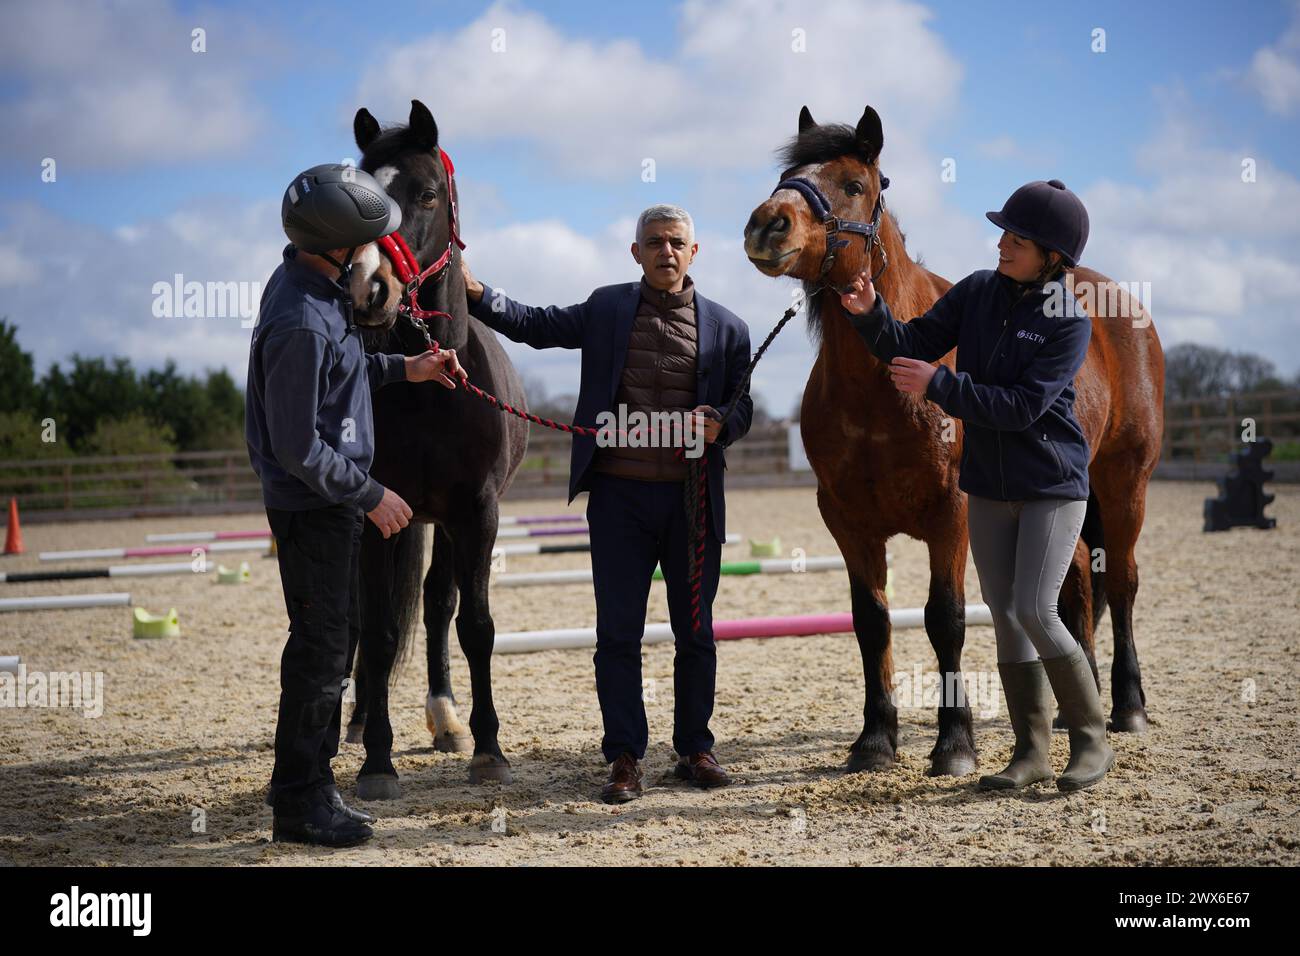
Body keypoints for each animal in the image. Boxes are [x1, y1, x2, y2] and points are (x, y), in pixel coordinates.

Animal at [344, 99, 528, 798]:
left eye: (425, 193)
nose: (366, 288)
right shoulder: (377, 516)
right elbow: (377, 628)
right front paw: (376, 760)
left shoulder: (476, 514)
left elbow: (473, 624)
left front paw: (488, 748)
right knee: (362, 621)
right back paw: (354, 722)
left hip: (444, 525)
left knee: (436, 604)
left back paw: (445, 719)